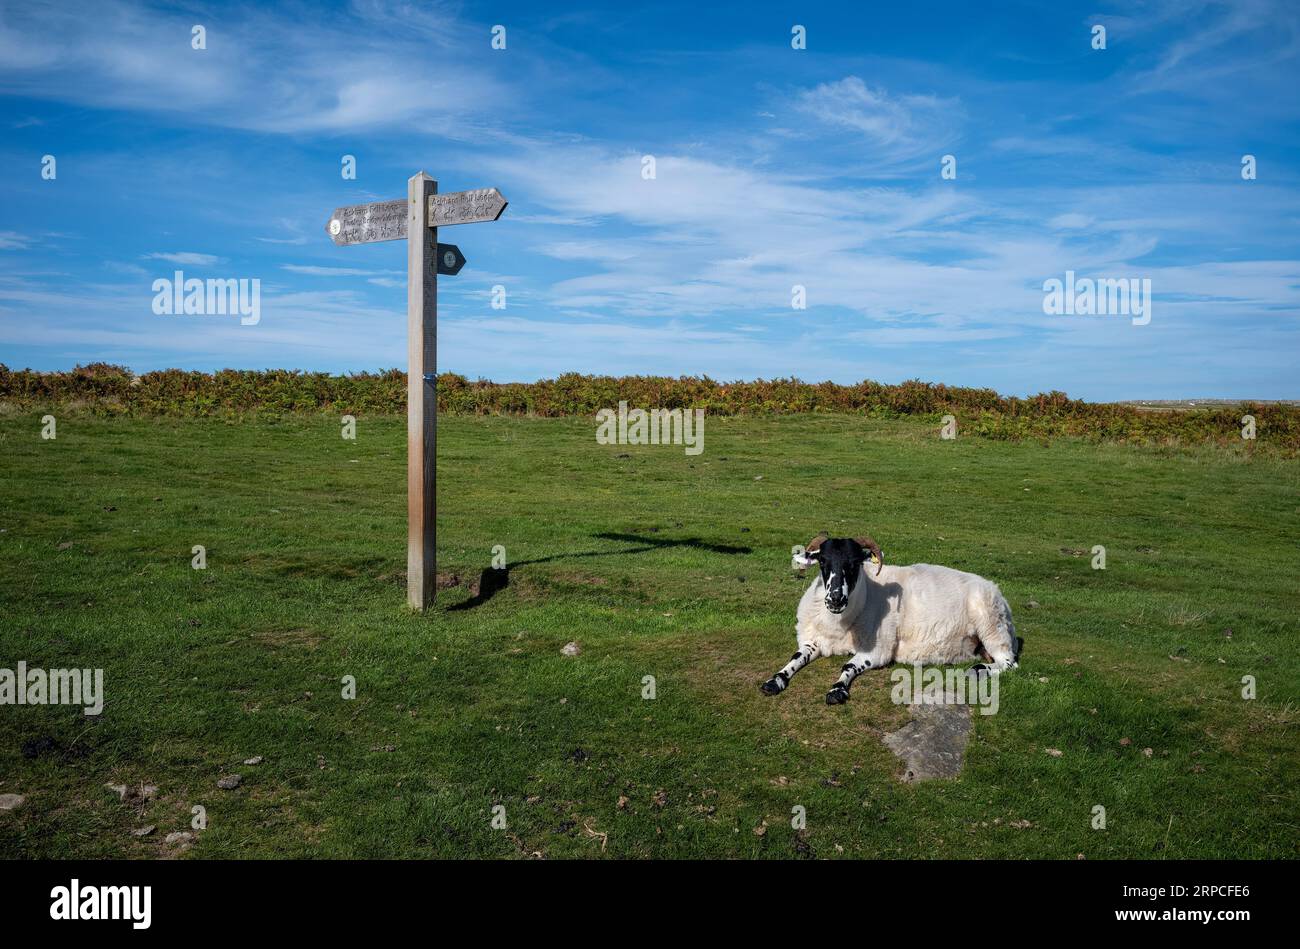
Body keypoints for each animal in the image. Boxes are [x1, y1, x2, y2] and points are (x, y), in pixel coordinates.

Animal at [759, 533, 1019, 702]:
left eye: (855, 563)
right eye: (822, 560)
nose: (835, 599)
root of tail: (995, 589)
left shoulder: (878, 650)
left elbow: (849, 664)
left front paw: (837, 690)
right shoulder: (812, 641)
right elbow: (795, 658)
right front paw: (774, 681)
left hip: (992, 625)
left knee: (1009, 663)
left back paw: (978, 670)